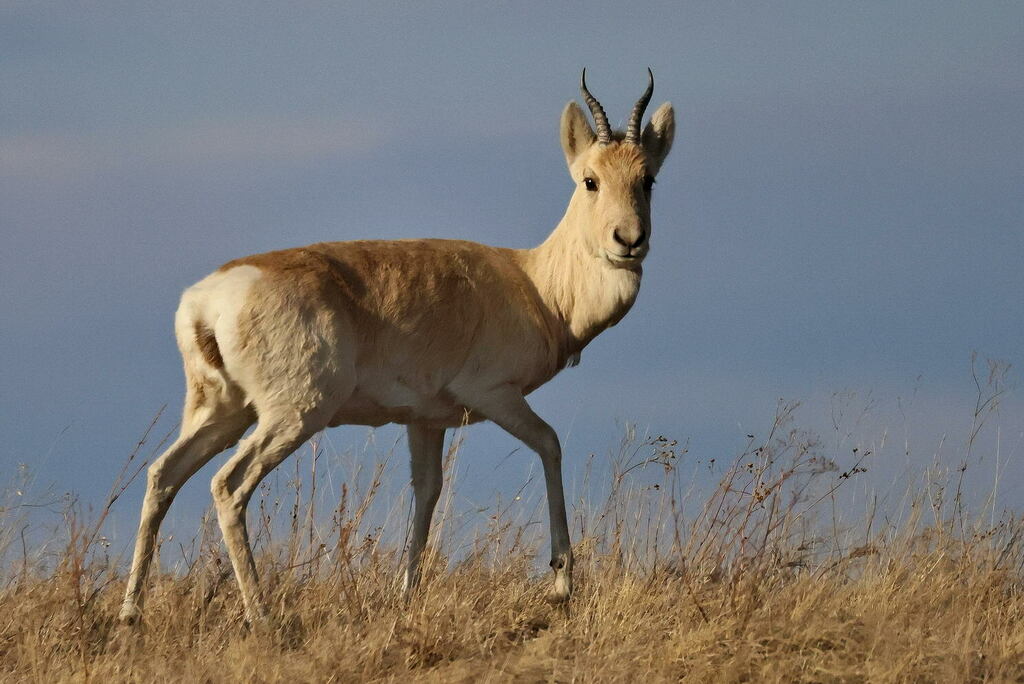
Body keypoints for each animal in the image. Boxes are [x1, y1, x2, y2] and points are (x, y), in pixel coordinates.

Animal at [119, 70, 675, 624]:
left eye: (647, 178)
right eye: (590, 179)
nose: (629, 240)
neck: (532, 281)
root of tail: (206, 298)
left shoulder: (425, 420)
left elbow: (426, 491)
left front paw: (406, 593)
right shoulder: (496, 395)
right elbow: (551, 443)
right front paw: (561, 584)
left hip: (221, 411)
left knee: (162, 474)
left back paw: (130, 613)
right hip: (293, 414)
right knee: (228, 486)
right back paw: (262, 616)